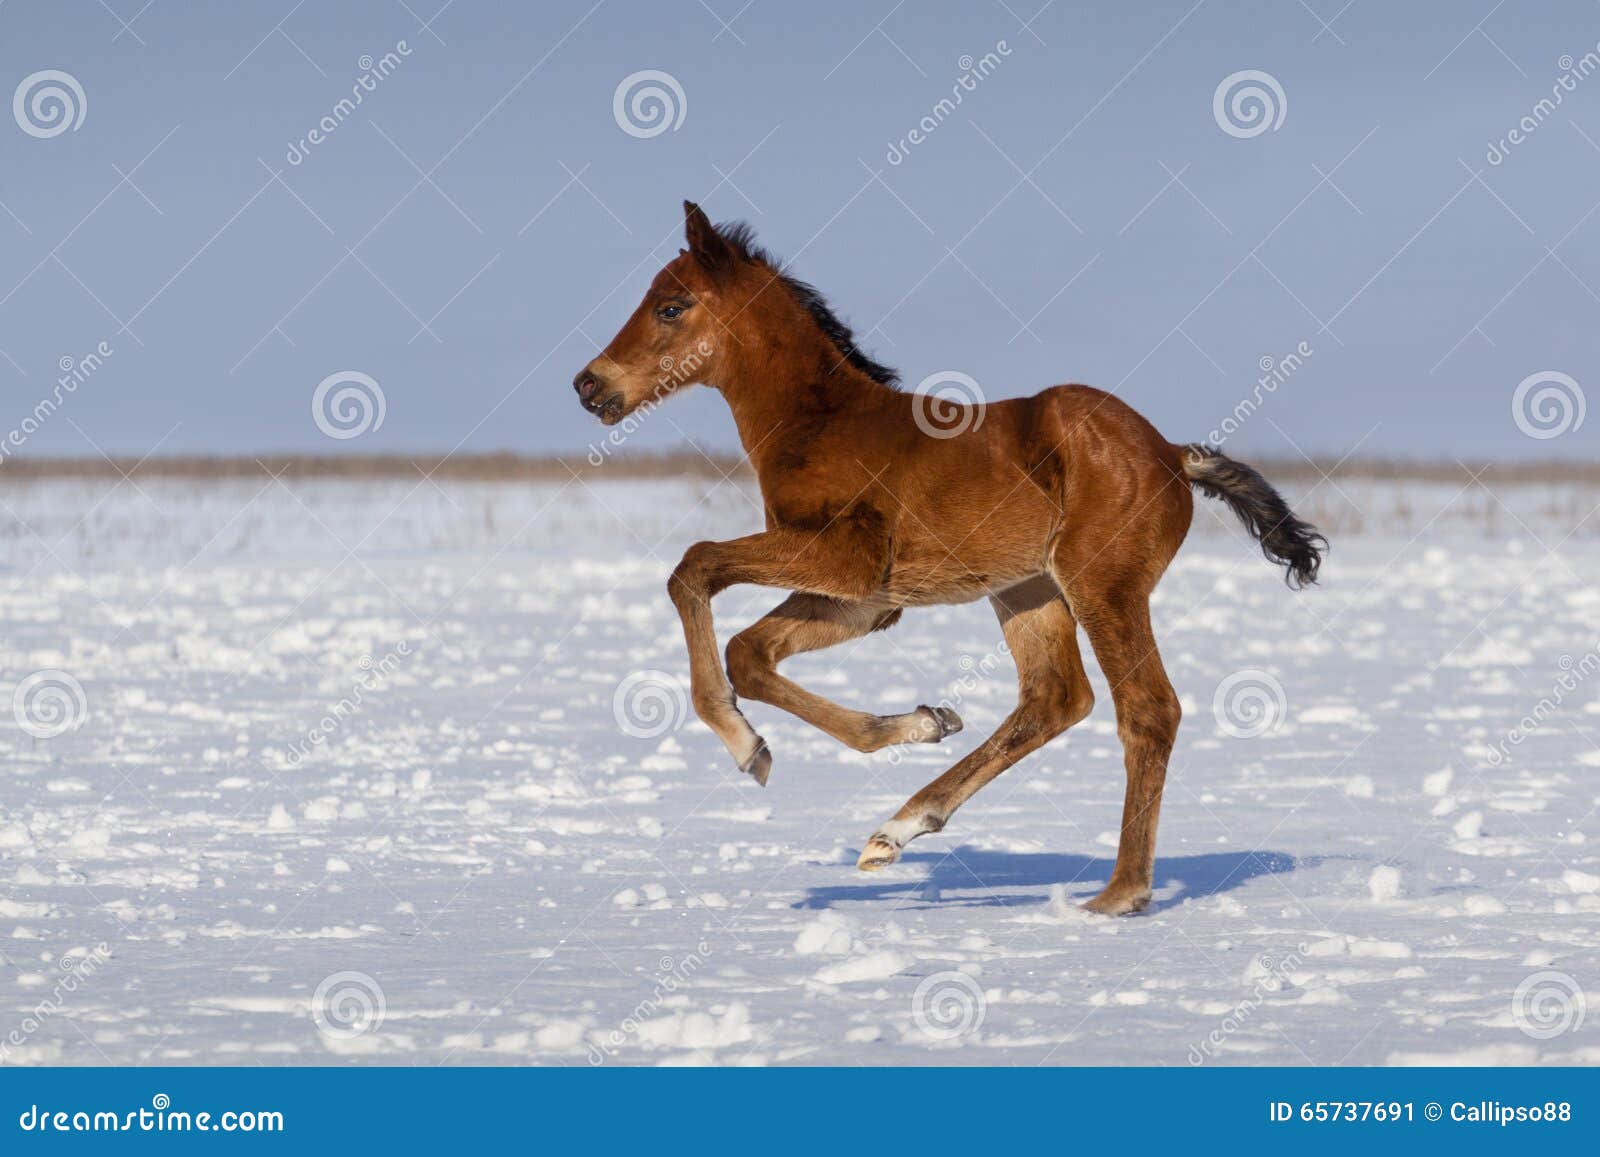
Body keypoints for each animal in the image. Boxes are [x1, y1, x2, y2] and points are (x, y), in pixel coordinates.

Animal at [573, 201, 1325, 915]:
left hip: (1101, 583)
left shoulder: (845, 560)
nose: (588, 385)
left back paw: (1119, 893)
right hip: (1027, 592)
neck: (820, 425)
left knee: (1147, 709)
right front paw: (917, 722)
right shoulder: (868, 600)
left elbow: (693, 568)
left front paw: (742, 744)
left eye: (671, 306)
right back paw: (896, 830)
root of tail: (1171, 454)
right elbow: (748, 653)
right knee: (1055, 698)